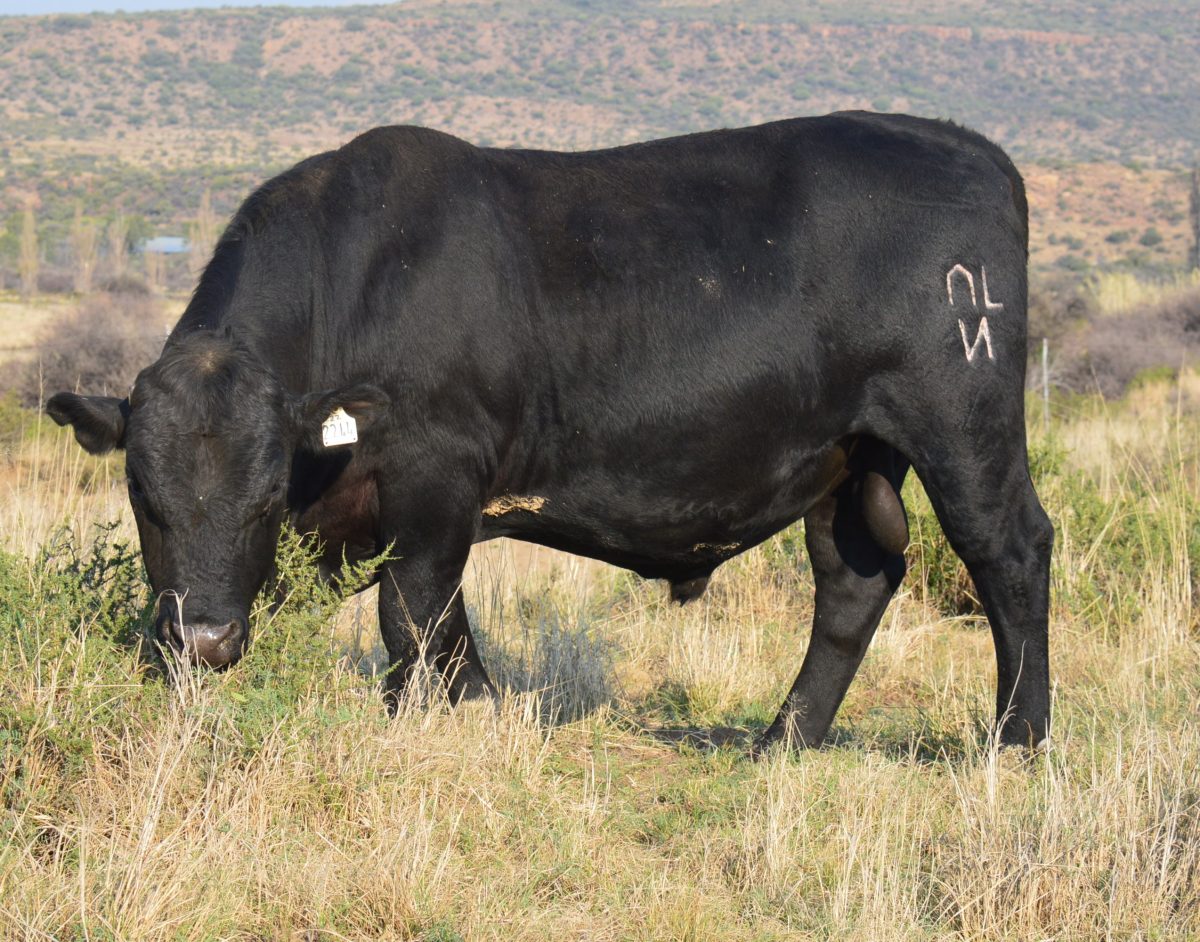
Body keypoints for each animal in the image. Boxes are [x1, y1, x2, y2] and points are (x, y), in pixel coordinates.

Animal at [47, 112, 1052, 751]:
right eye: (142, 495)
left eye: (263, 499)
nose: (205, 641)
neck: (361, 282)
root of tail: (971, 148)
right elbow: (429, 621)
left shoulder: (435, 477)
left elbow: (415, 615)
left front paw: (444, 719)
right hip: (850, 457)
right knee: (854, 578)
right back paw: (784, 740)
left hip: (962, 423)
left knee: (1009, 553)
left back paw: (1017, 738)